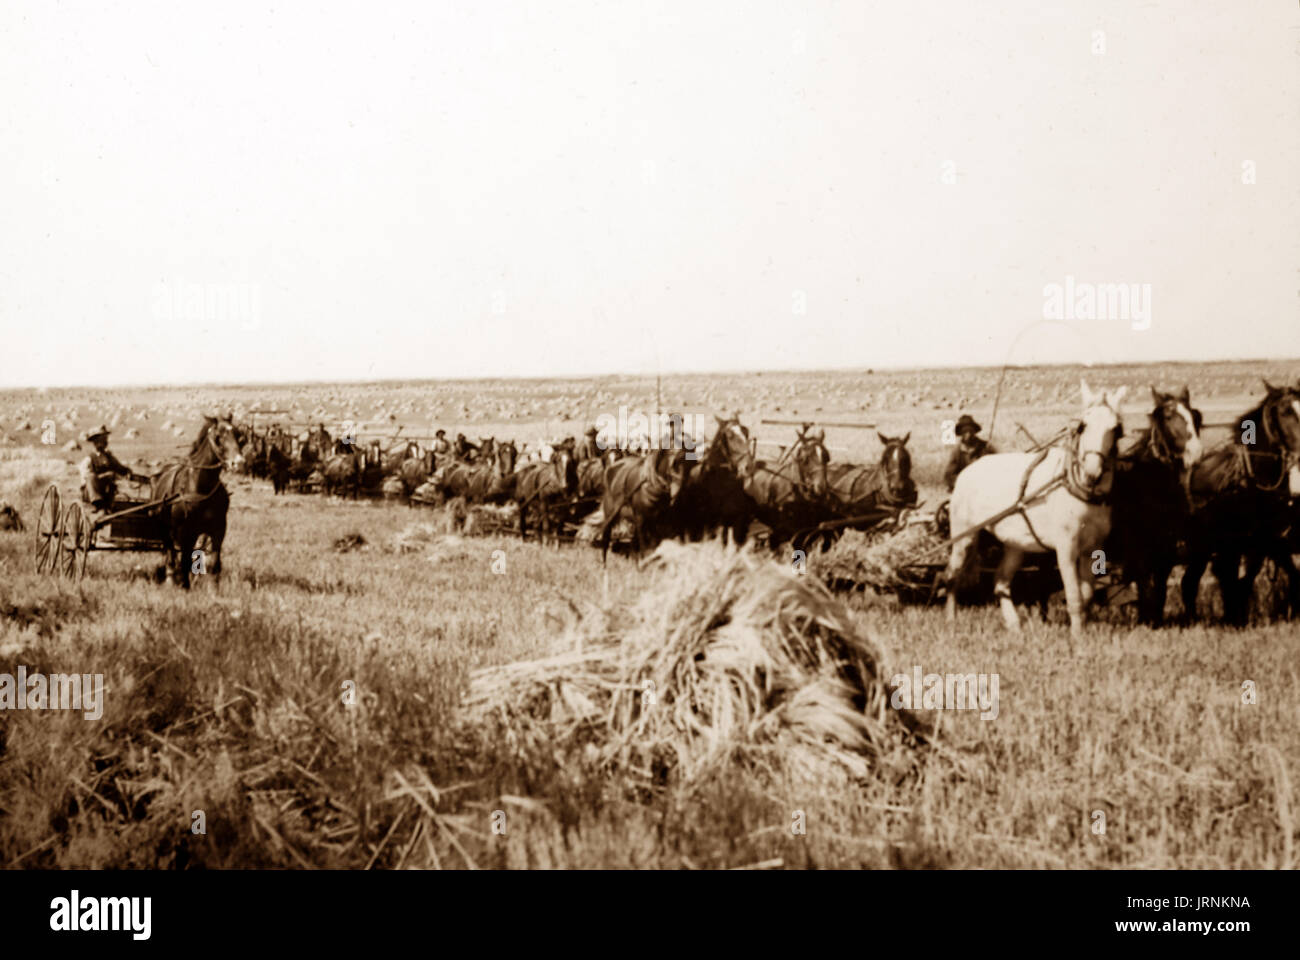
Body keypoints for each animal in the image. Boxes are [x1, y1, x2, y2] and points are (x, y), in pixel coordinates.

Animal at [149, 416, 245, 587]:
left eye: (238, 435)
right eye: (218, 437)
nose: (238, 462)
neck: (199, 486)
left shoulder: (219, 529)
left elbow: (214, 563)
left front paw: (214, 588)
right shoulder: (184, 531)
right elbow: (184, 561)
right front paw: (185, 586)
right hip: (165, 528)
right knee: (170, 552)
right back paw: (170, 577)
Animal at [946, 379, 1128, 634]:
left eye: (1117, 429)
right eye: (1083, 426)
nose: (1093, 471)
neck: (1076, 488)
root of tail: (968, 470)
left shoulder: (1092, 549)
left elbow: (1087, 595)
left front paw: (1084, 628)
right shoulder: (1066, 548)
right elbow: (1074, 596)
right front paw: (1077, 636)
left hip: (1015, 544)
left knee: (1000, 582)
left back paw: (1014, 625)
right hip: (965, 537)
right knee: (952, 576)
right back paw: (951, 620)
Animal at [1102, 385, 1201, 624]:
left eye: (1194, 416)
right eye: (1168, 416)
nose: (1195, 452)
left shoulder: (1164, 556)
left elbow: (1160, 593)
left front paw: (1155, 620)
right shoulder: (1141, 556)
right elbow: (1147, 591)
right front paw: (1146, 622)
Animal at [1180, 385, 1300, 624]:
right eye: (1284, 412)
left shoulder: (1266, 540)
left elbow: (1246, 580)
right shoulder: (1241, 543)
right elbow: (1236, 581)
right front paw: (1235, 618)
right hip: (1202, 545)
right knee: (1189, 583)